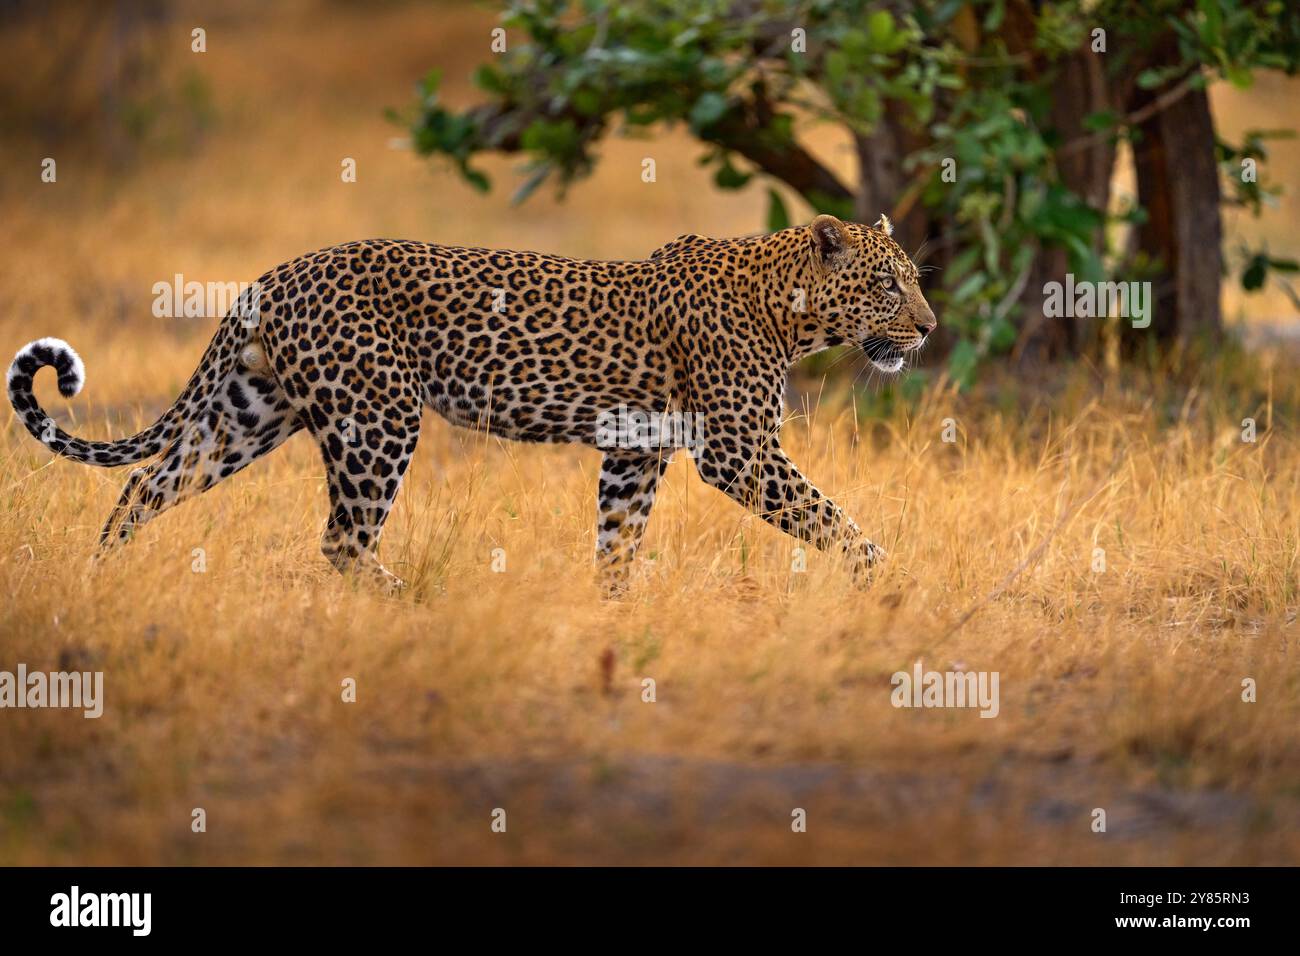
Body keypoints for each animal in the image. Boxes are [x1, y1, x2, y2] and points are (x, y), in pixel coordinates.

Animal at [7, 214, 936, 593]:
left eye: (913, 281)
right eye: (888, 284)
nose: (928, 327)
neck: (790, 311)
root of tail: (274, 274)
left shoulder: (634, 451)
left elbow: (617, 544)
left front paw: (612, 617)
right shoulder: (738, 452)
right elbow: (834, 521)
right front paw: (888, 585)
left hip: (250, 412)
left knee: (145, 486)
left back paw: (100, 582)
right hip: (378, 416)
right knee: (342, 538)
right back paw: (417, 598)